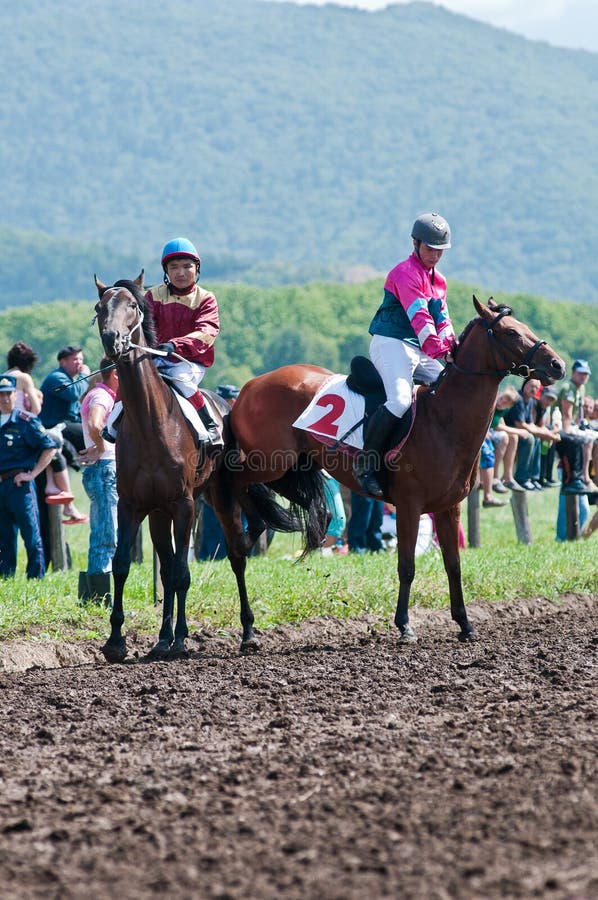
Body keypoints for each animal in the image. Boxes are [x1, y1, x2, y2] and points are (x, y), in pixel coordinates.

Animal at [93, 273, 299, 661]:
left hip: (221, 497)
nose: (113, 341)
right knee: (168, 564)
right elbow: (124, 565)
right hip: (160, 513)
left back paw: (247, 632)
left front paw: (181, 639)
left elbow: (182, 574)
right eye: (100, 307)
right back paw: (161, 638)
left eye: (133, 305)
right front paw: (116, 641)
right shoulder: (133, 504)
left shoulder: (185, 504)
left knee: (236, 555)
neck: (151, 423)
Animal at [228, 297, 566, 643]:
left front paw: (465, 623)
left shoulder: (448, 508)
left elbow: (453, 565)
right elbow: (407, 566)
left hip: (290, 465)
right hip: (268, 461)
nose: (557, 365)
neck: (443, 419)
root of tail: (252, 385)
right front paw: (405, 625)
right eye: (511, 332)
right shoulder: (409, 506)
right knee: (234, 484)